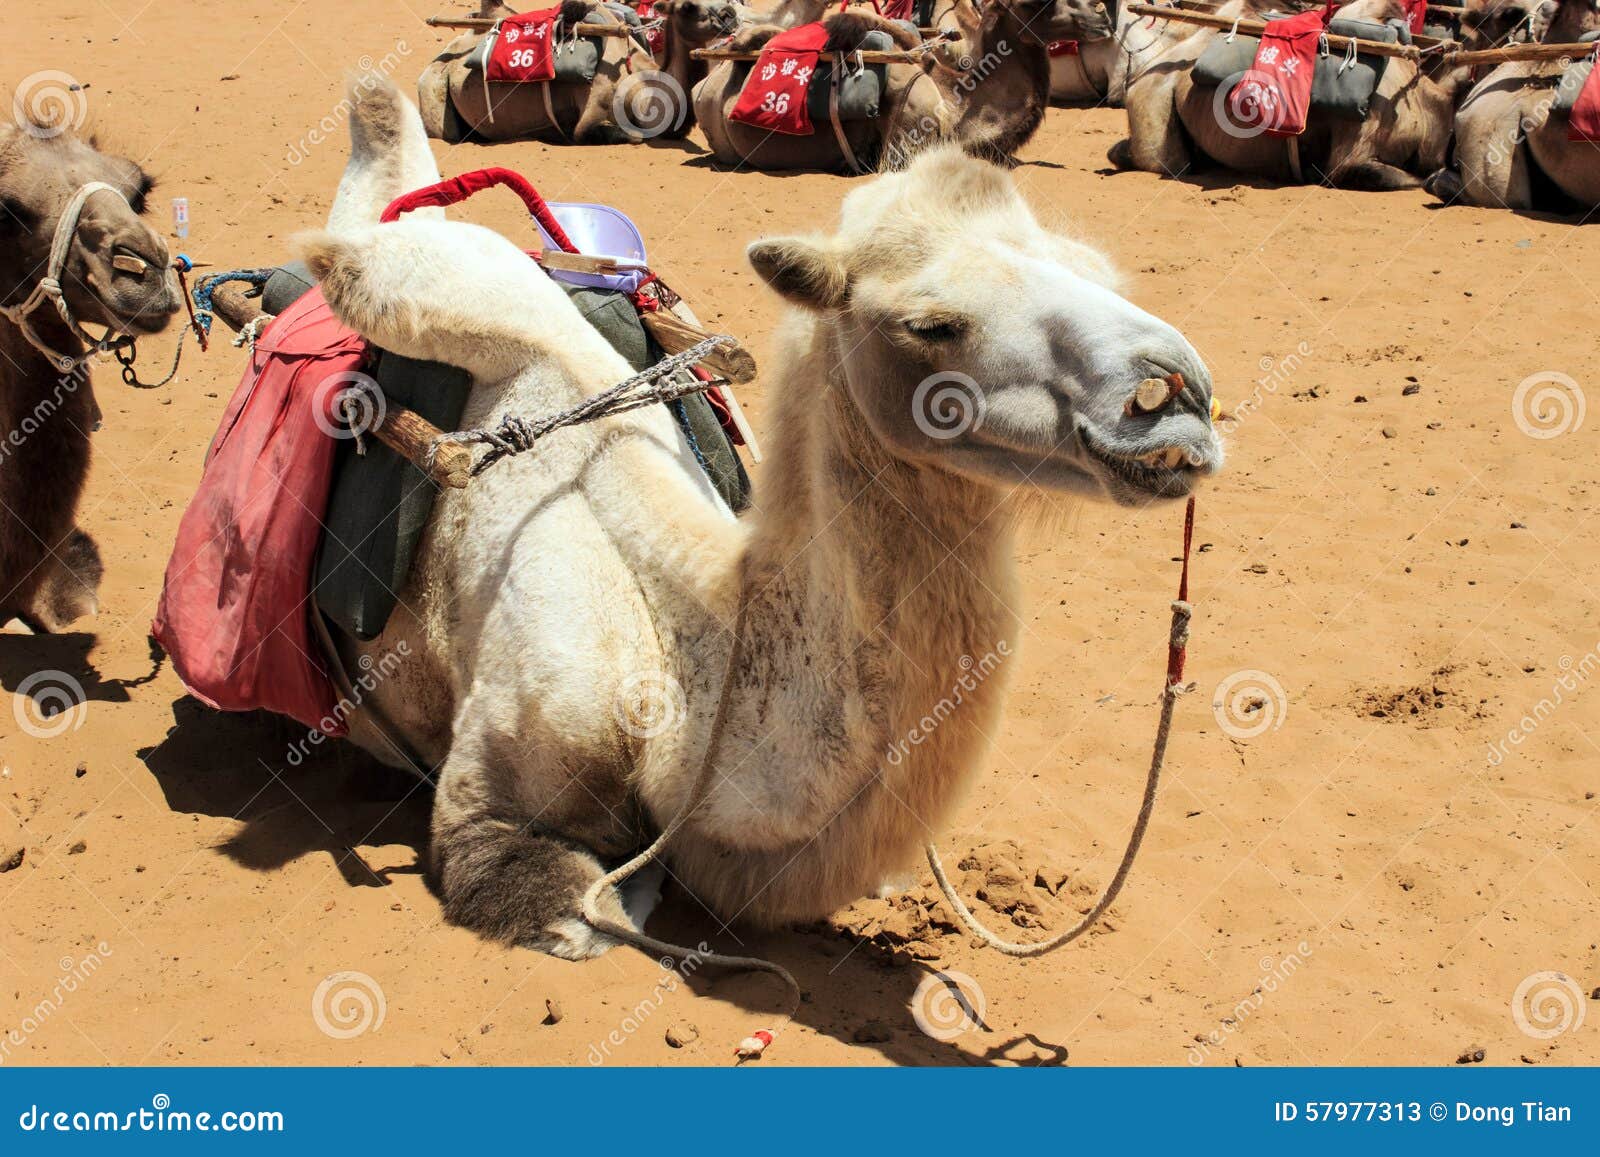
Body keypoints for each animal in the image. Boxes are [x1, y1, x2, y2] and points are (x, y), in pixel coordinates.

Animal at [297, 83, 1224, 959]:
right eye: (930, 324)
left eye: (1094, 269)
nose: (1175, 394)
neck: (683, 670)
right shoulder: (500, 783)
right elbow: (584, 910)